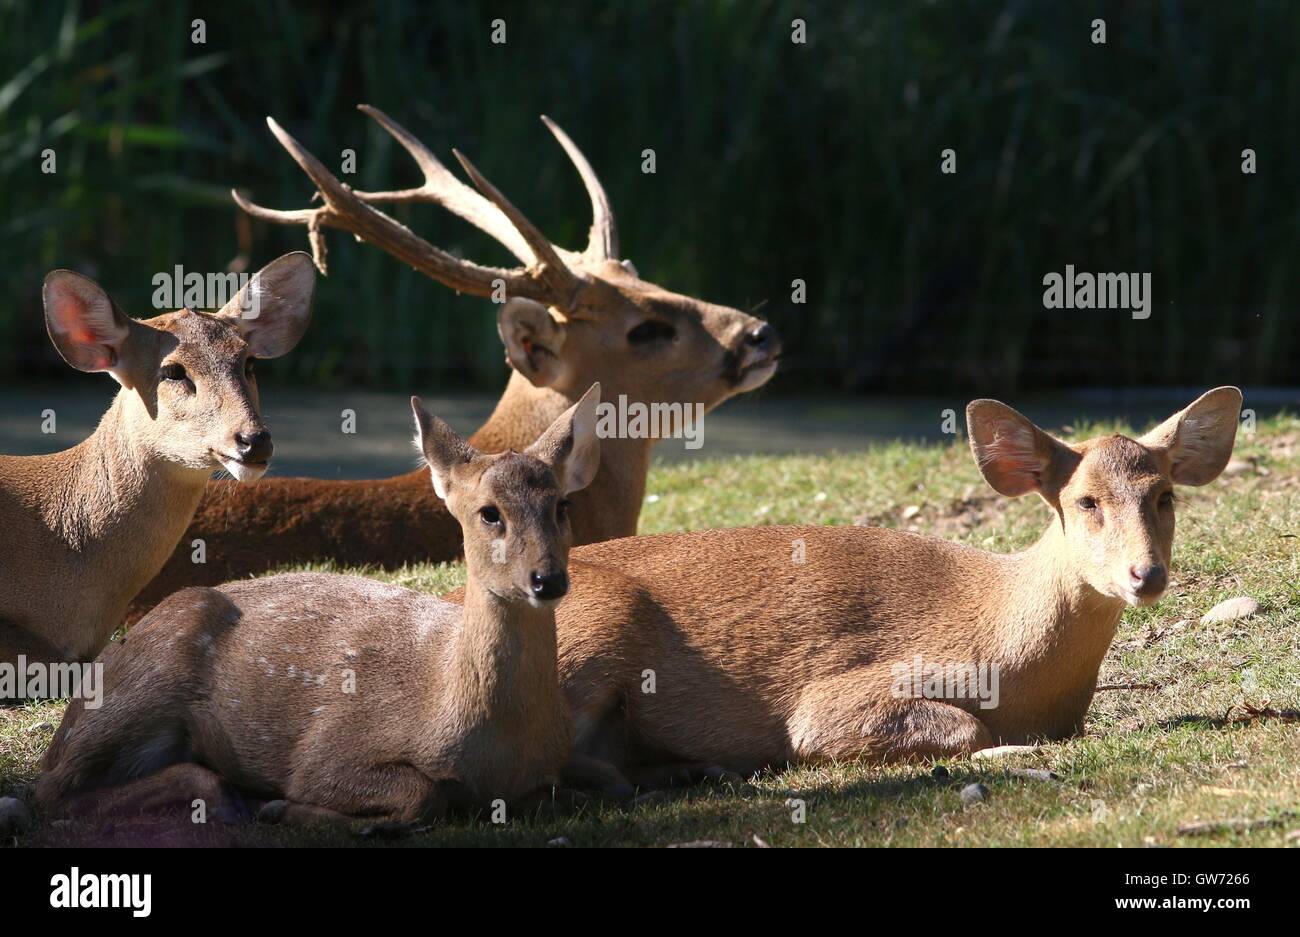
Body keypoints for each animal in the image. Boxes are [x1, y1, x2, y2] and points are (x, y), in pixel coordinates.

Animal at [37, 386, 603, 831]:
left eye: (562, 505)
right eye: (489, 513)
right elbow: (421, 794)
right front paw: (292, 809)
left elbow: (567, 795)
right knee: (51, 787)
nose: (548, 578)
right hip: (149, 675)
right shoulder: (327, 753)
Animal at [541, 388, 1243, 790]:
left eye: (1165, 495)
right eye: (1086, 500)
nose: (1146, 574)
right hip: (595, 622)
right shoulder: (842, 691)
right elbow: (966, 729)